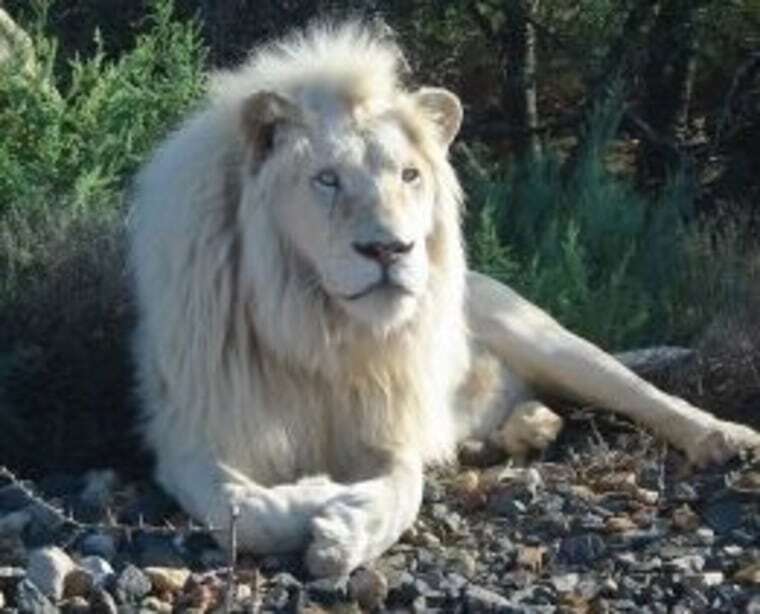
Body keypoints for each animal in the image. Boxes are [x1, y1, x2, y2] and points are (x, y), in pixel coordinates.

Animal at [129, 22, 760, 578]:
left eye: (409, 175)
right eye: (327, 179)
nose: (389, 248)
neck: (319, 329)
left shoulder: (389, 421)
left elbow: (402, 491)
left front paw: (342, 531)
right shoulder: (191, 436)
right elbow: (243, 510)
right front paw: (314, 497)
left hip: (547, 340)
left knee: (644, 394)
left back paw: (722, 438)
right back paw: (523, 430)